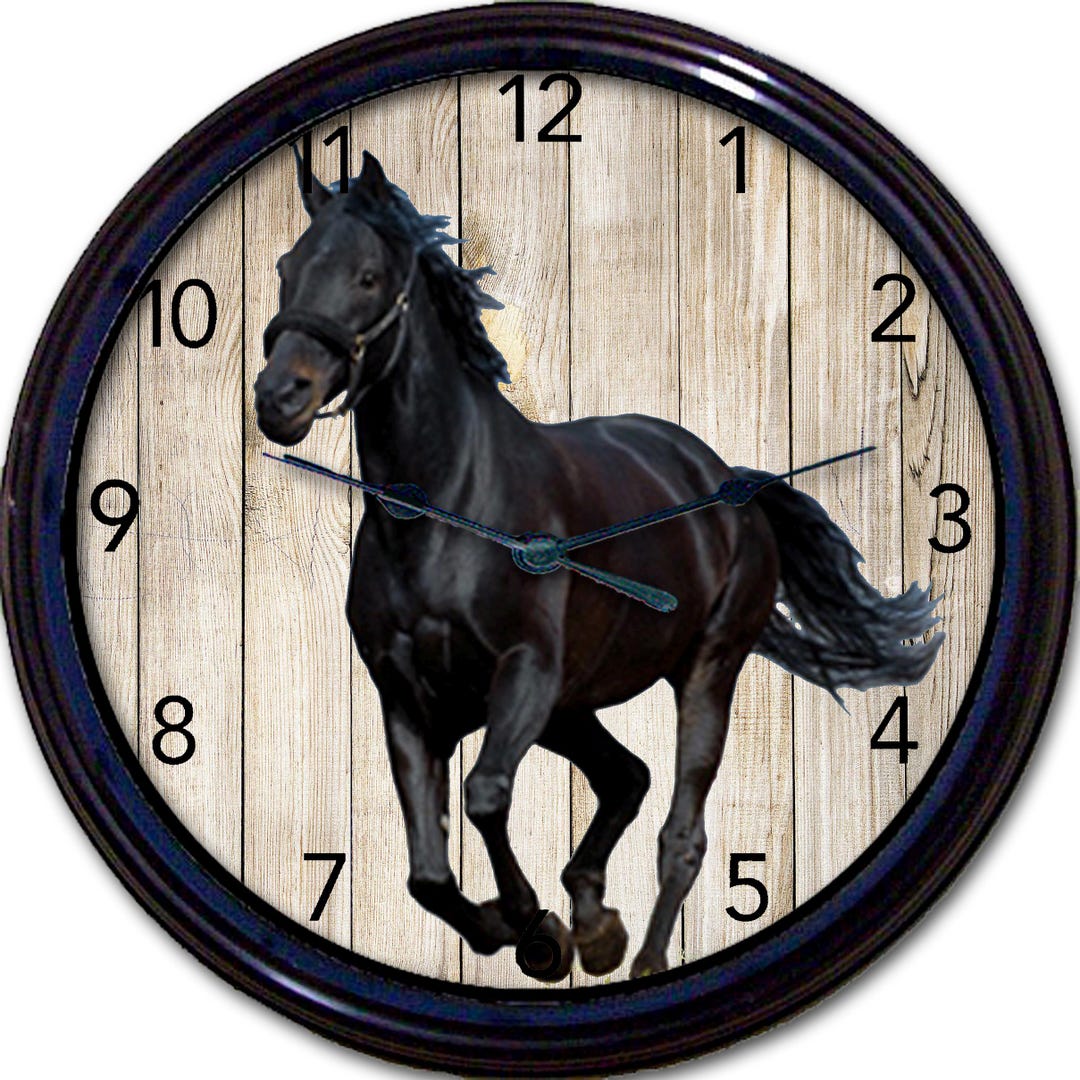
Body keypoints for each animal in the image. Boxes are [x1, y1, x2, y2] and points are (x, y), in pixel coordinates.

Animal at [254, 149, 942, 981]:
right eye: (287, 267)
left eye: (367, 276)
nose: (278, 397)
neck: (446, 511)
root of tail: (731, 483)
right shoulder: (407, 698)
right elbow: (428, 875)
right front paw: (522, 925)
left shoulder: (524, 671)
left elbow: (485, 795)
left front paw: (531, 922)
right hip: (572, 705)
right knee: (625, 777)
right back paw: (594, 920)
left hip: (703, 672)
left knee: (680, 832)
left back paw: (638, 955)